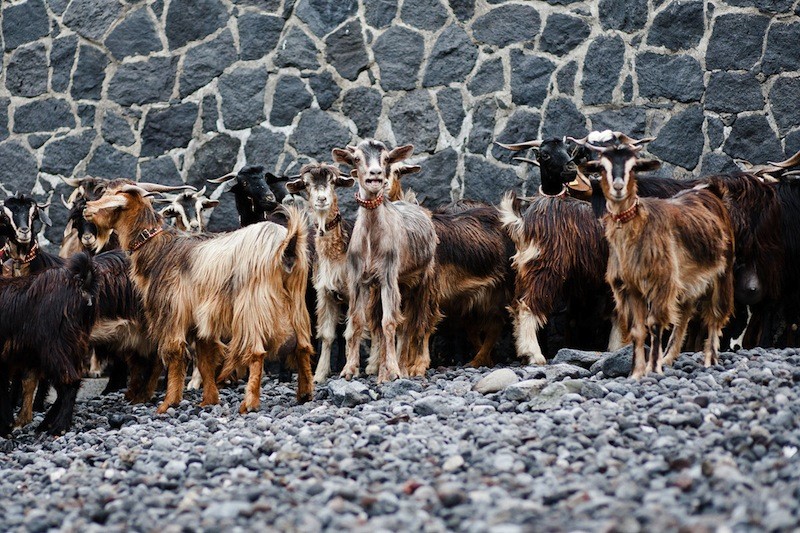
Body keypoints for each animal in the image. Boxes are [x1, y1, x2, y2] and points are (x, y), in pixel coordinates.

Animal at [0, 252, 98, 435]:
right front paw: (7, 425)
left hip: (54, 348)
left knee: (70, 383)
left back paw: (59, 427)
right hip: (73, 347)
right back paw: (45, 424)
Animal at [84, 181, 314, 414]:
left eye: (114, 197)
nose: (87, 208)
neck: (160, 249)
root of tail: (285, 243)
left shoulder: (172, 311)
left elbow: (175, 353)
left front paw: (168, 403)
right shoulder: (201, 322)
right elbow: (205, 359)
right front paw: (209, 400)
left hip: (252, 306)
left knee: (257, 352)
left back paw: (249, 403)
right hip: (297, 302)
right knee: (303, 347)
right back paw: (305, 394)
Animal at [332, 140, 441, 382]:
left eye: (386, 159)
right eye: (356, 158)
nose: (376, 174)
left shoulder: (388, 277)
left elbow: (390, 323)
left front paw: (394, 370)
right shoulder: (358, 280)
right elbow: (357, 321)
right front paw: (349, 369)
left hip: (422, 280)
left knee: (411, 323)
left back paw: (403, 368)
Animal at [582, 144, 734, 377]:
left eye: (634, 167)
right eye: (602, 167)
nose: (618, 187)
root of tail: (712, 193)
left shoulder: (661, 281)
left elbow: (654, 323)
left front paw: (653, 368)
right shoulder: (629, 286)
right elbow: (637, 330)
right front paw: (637, 372)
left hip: (723, 272)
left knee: (716, 315)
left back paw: (710, 360)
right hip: (688, 277)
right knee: (685, 312)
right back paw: (669, 357)